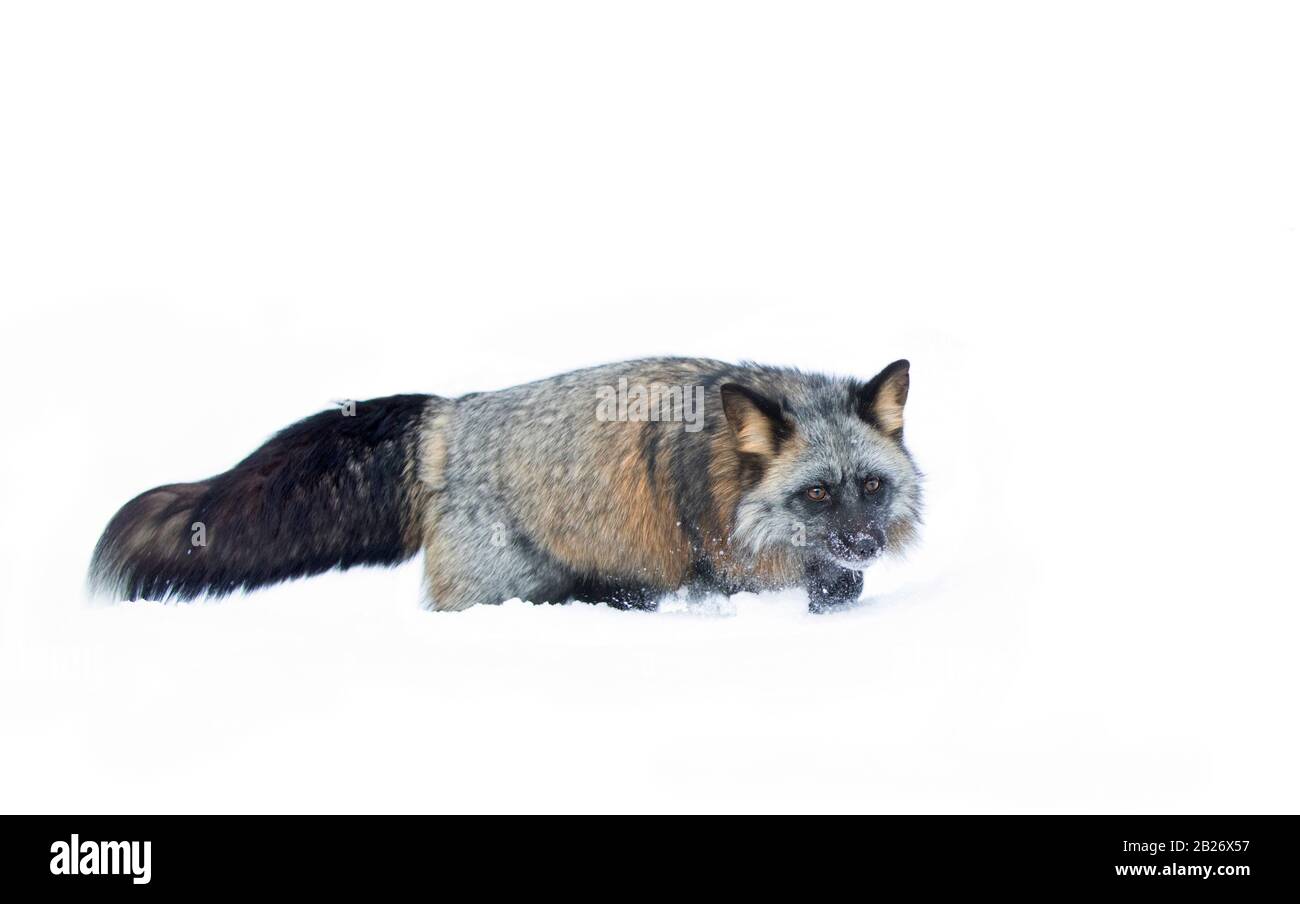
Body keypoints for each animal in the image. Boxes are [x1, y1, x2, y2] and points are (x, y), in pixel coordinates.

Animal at [89, 356, 925, 611]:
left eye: (871, 487)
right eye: (816, 493)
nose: (863, 542)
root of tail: (449, 414)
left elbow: (836, 585)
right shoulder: (724, 562)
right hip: (504, 583)